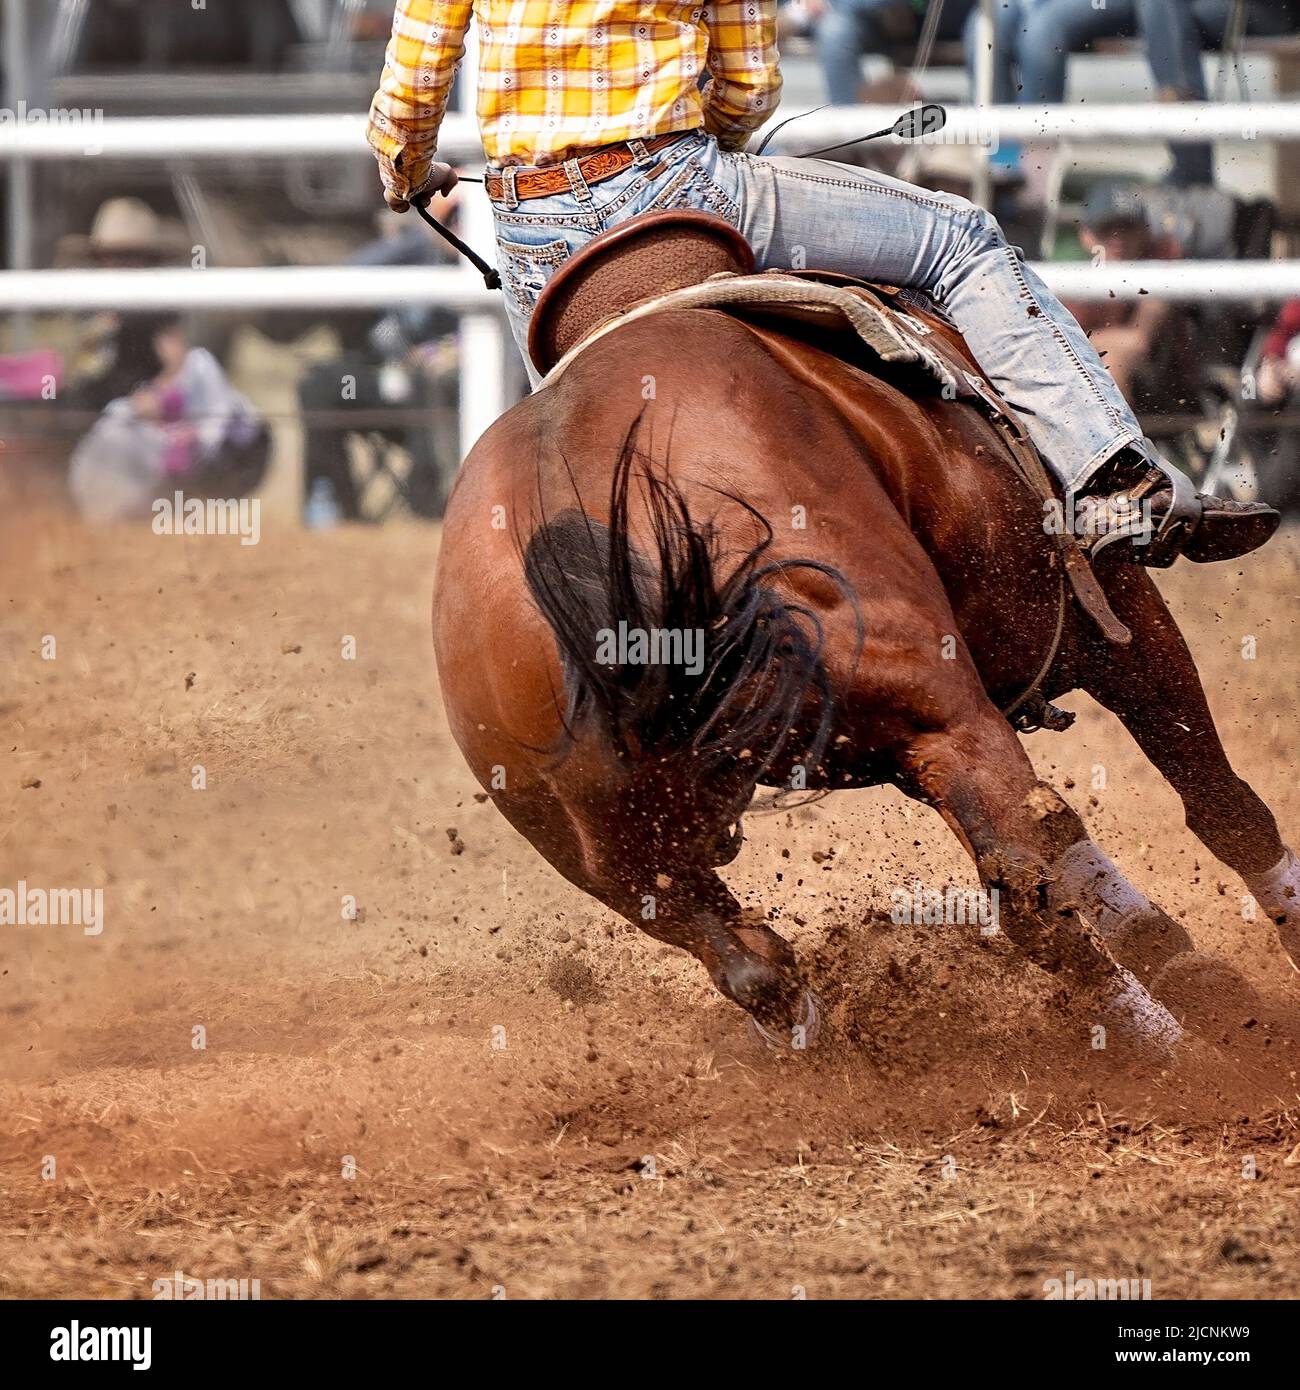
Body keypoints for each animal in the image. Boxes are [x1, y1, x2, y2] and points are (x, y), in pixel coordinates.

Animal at [431, 211, 1298, 1054]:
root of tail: (565, 501)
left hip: (622, 851)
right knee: (1025, 875)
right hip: (939, 704)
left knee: (756, 966)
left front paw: (1174, 953)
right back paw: (1182, 1057)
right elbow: (1218, 800)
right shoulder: (1106, 617)